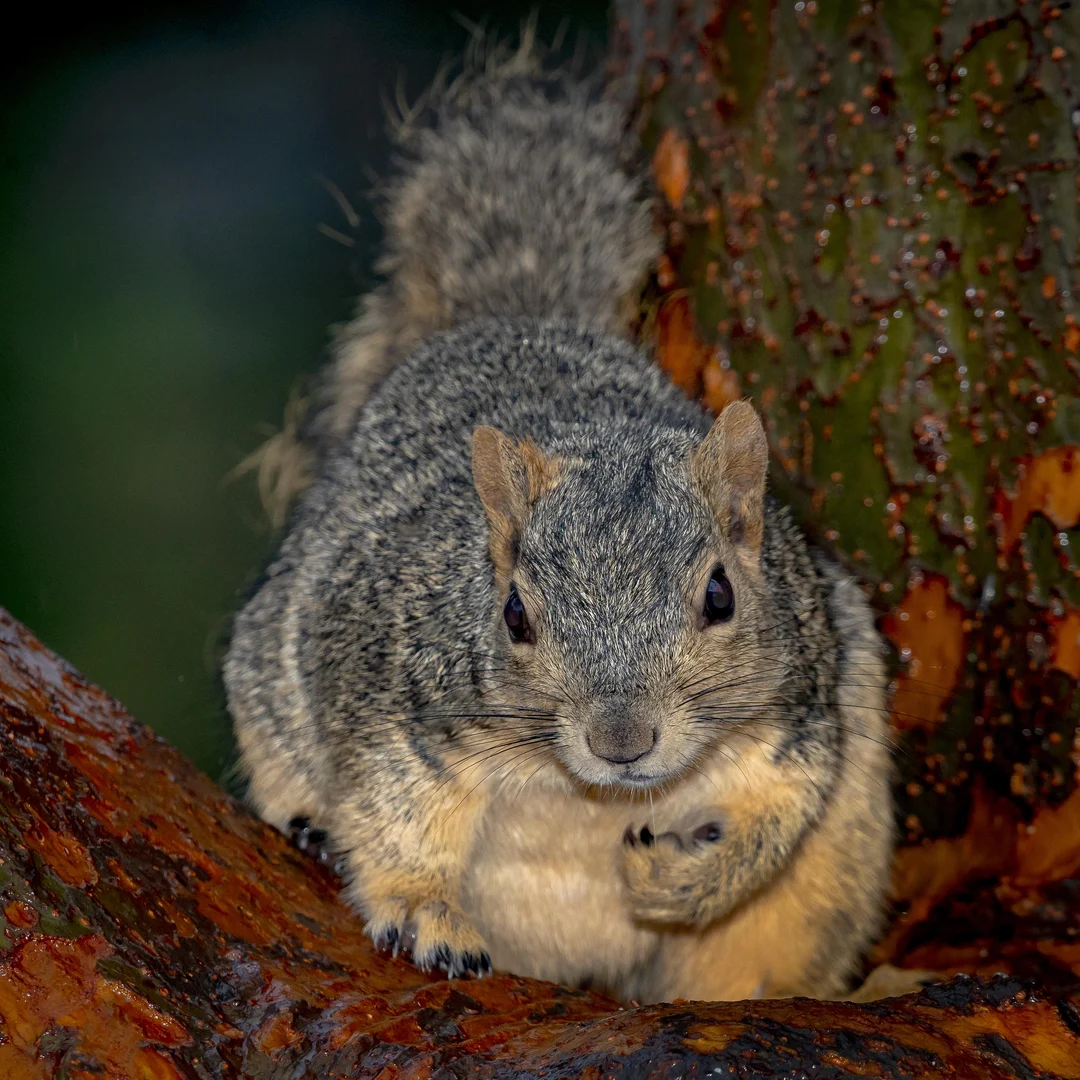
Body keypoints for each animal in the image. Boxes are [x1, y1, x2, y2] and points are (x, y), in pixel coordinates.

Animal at [224, 36, 896, 1004]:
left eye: (721, 598)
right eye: (514, 614)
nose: (623, 741)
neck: (596, 797)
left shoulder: (802, 696)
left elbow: (782, 812)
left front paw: (692, 876)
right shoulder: (391, 693)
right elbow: (392, 812)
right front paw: (422, 908)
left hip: (818, 885)